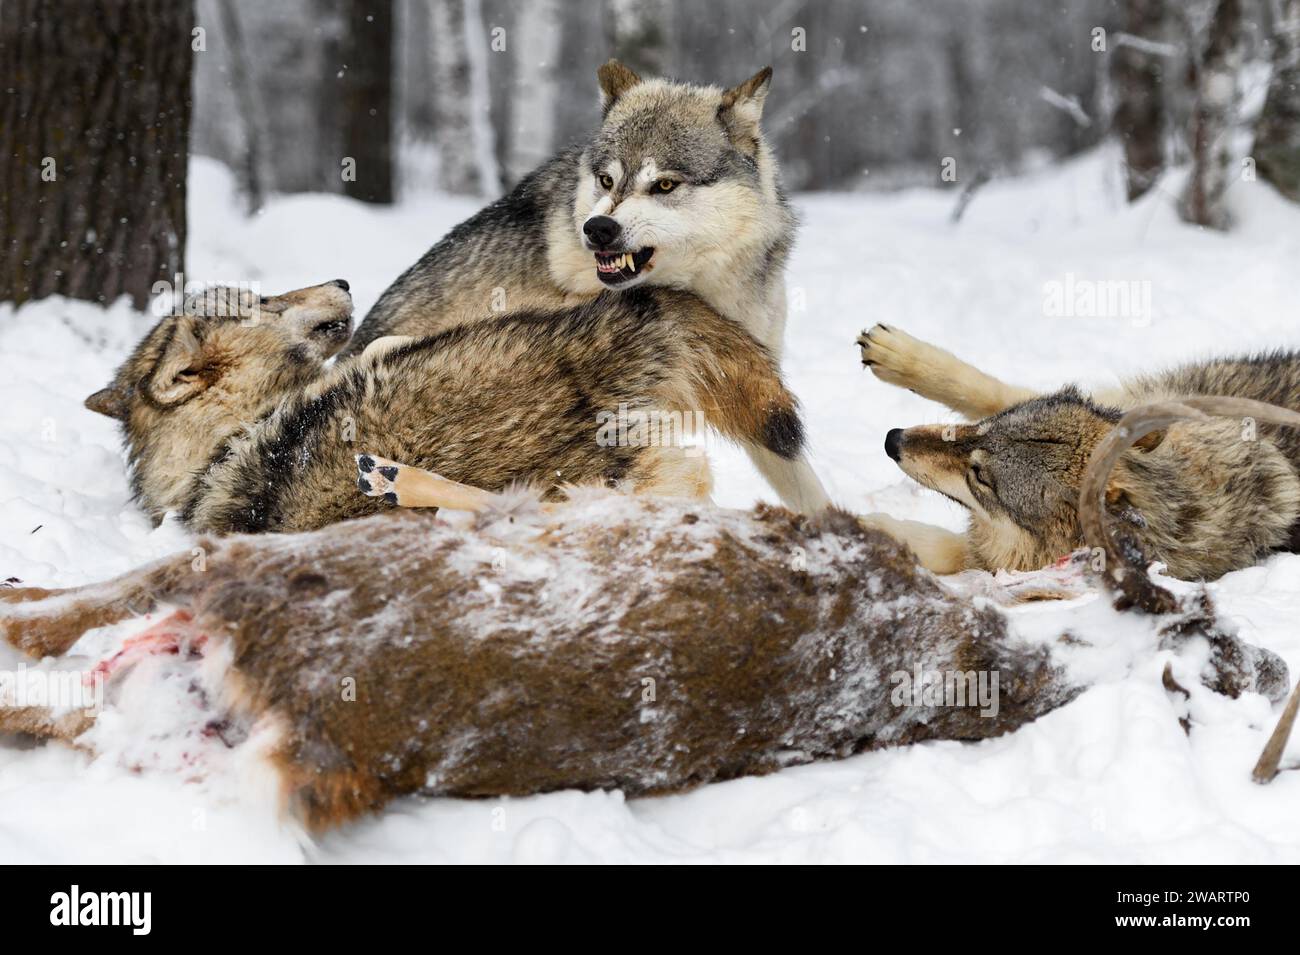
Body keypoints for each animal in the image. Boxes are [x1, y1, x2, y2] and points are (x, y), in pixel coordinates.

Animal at [340, 60, 830, 513]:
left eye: (664, 184)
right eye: (607, 180)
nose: (597, 228)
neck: (701, 293)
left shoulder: (752, 393)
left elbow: (806, 485)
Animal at [856, 323, 1300, 580]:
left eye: (980, 476)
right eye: (981, 430)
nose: (892, 439)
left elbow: (961, 553)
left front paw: (863, 527)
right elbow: (983, 387)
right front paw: (899, 356)